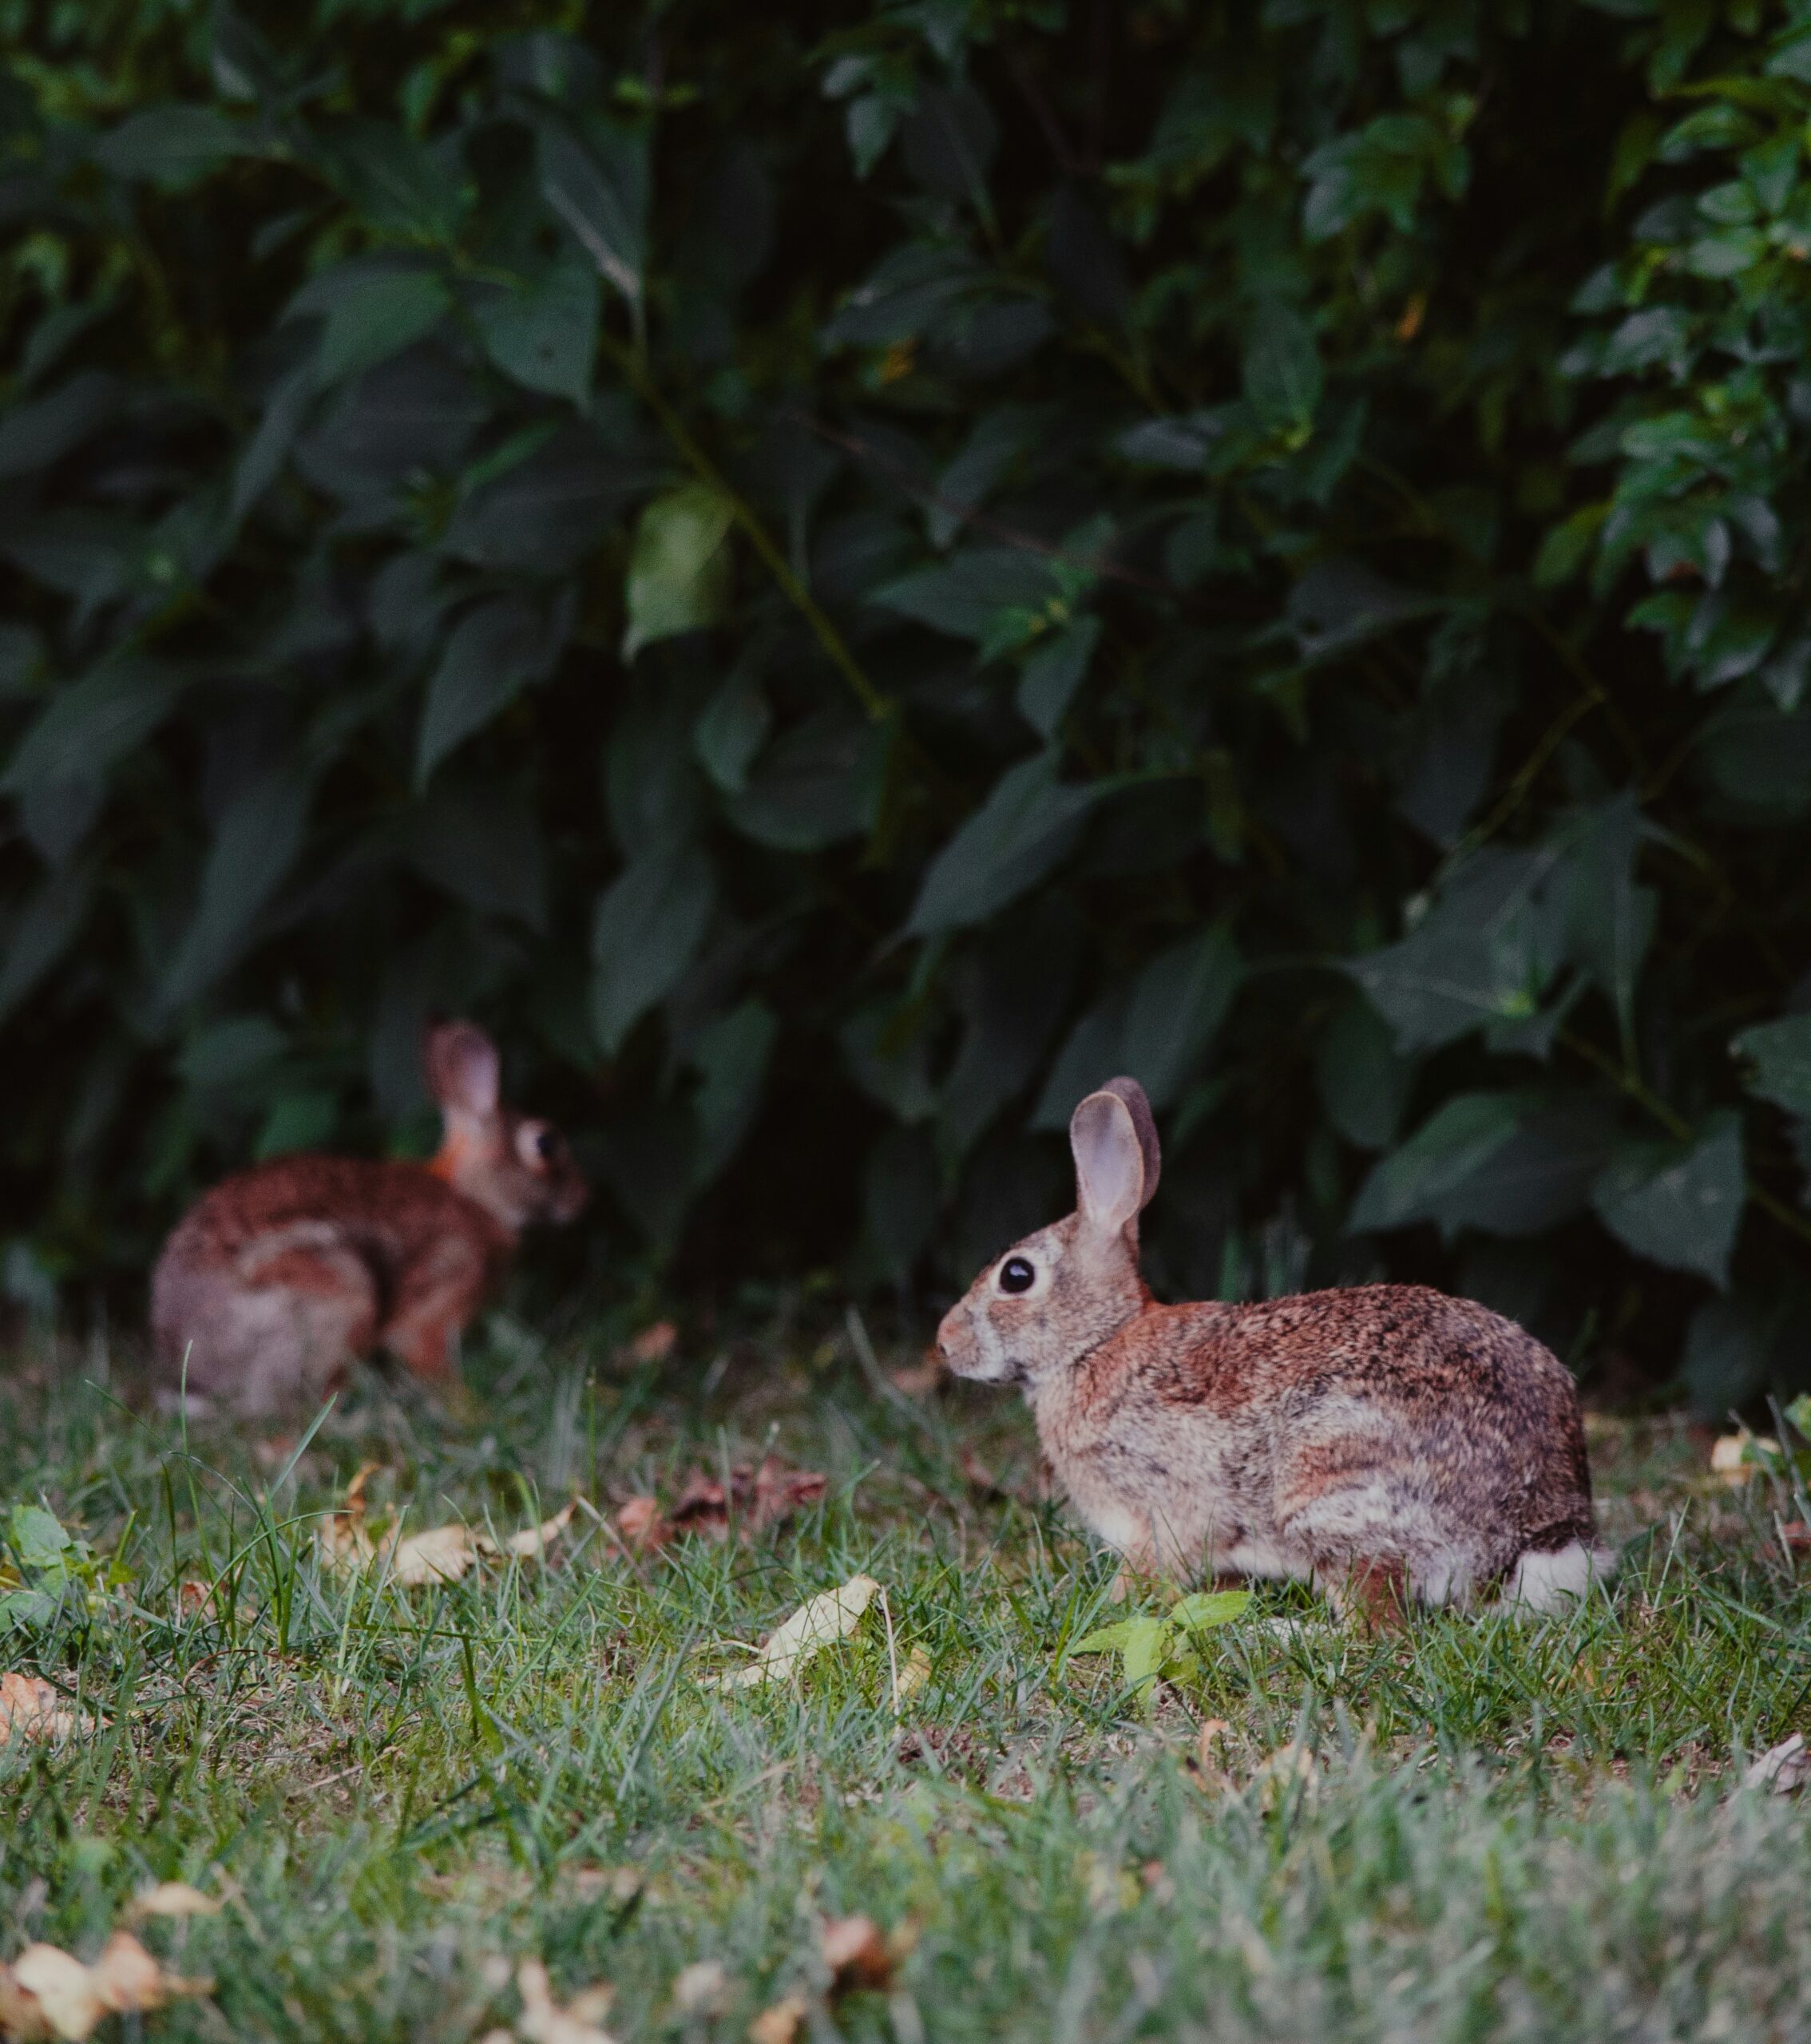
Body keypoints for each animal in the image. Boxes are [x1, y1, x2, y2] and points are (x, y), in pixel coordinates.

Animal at [151, 1020, 587, 1418]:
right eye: (546, 1144)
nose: (582, 1199)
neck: (473, 1196)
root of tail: (202, 1372)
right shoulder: (439, 1292)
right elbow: (423, 1352)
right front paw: (469, 1408)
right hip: (341, 1300)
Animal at [935, 1076, 1613, 1620]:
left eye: (1016, 1276)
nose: (944, 1343)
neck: (1098, 1343)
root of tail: (1534, 1532)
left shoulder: (1168, 1506)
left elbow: (1158, 1567)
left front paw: (1112, 1607)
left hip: (1326, 1494)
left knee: (1374, 1630)